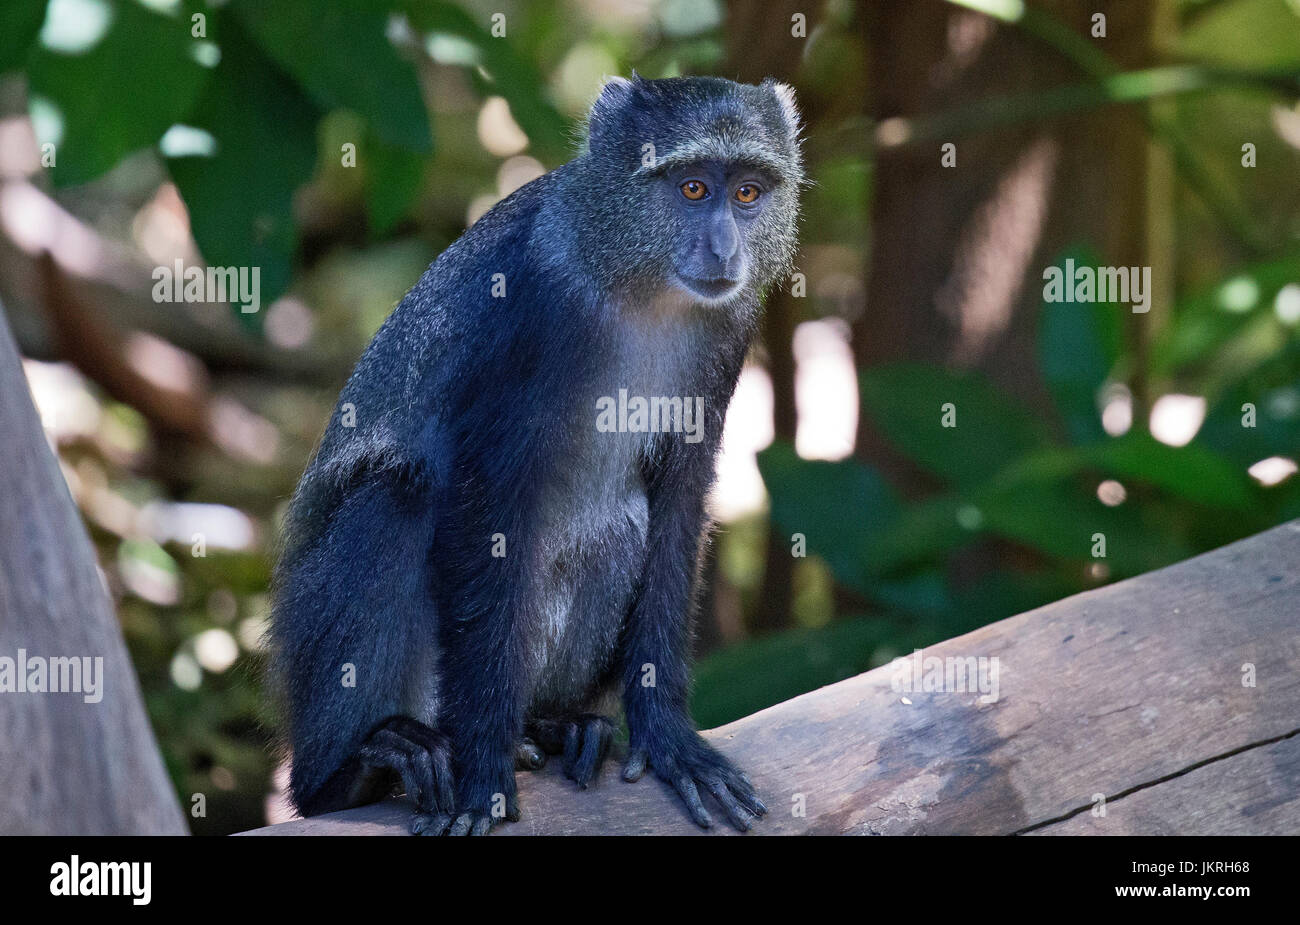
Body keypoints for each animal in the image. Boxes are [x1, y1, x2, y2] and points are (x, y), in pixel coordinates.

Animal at [269, 74, 803, 835]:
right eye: (694, 188)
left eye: (750, 192)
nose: (726, 249)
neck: (635, 284)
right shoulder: (527, 311)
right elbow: (482, 503)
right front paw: (482, 777)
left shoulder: (729, 334)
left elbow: (676, 502)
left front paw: (668, 735)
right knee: (392, 504)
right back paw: (359, 769)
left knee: (618, 526)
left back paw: (552, 726)